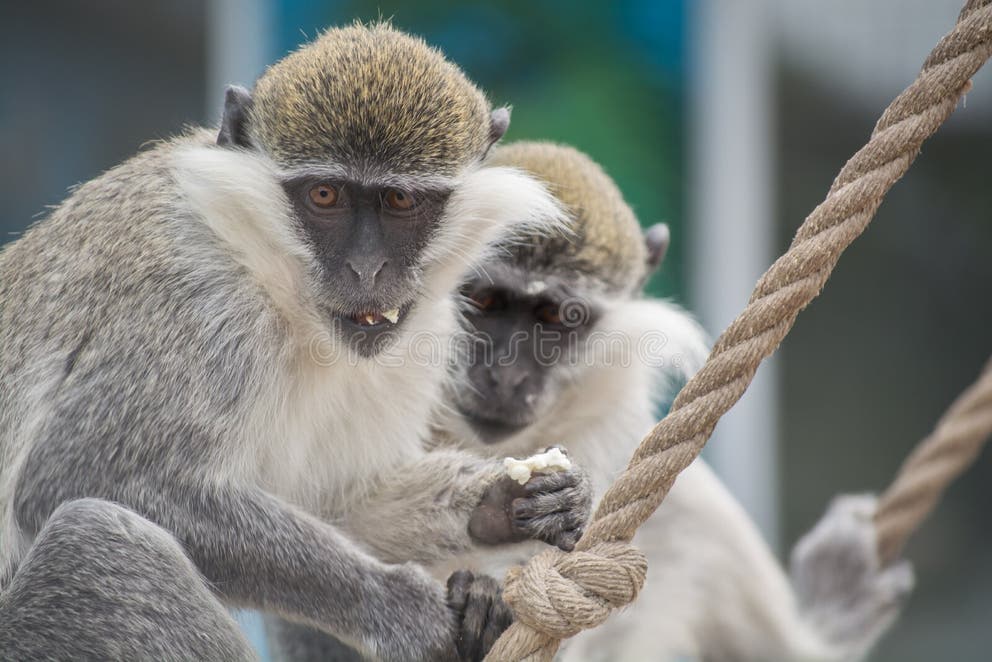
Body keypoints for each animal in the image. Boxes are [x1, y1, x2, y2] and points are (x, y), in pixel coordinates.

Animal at [0, 25, 595, 661]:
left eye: (400, 201)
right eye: (326, 196)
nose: (367, 269)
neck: (273, 280)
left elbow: (335, 502)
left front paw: (504, 504)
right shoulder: (196, 302)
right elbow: (75, 476)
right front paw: (398, 606)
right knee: (99, 541)